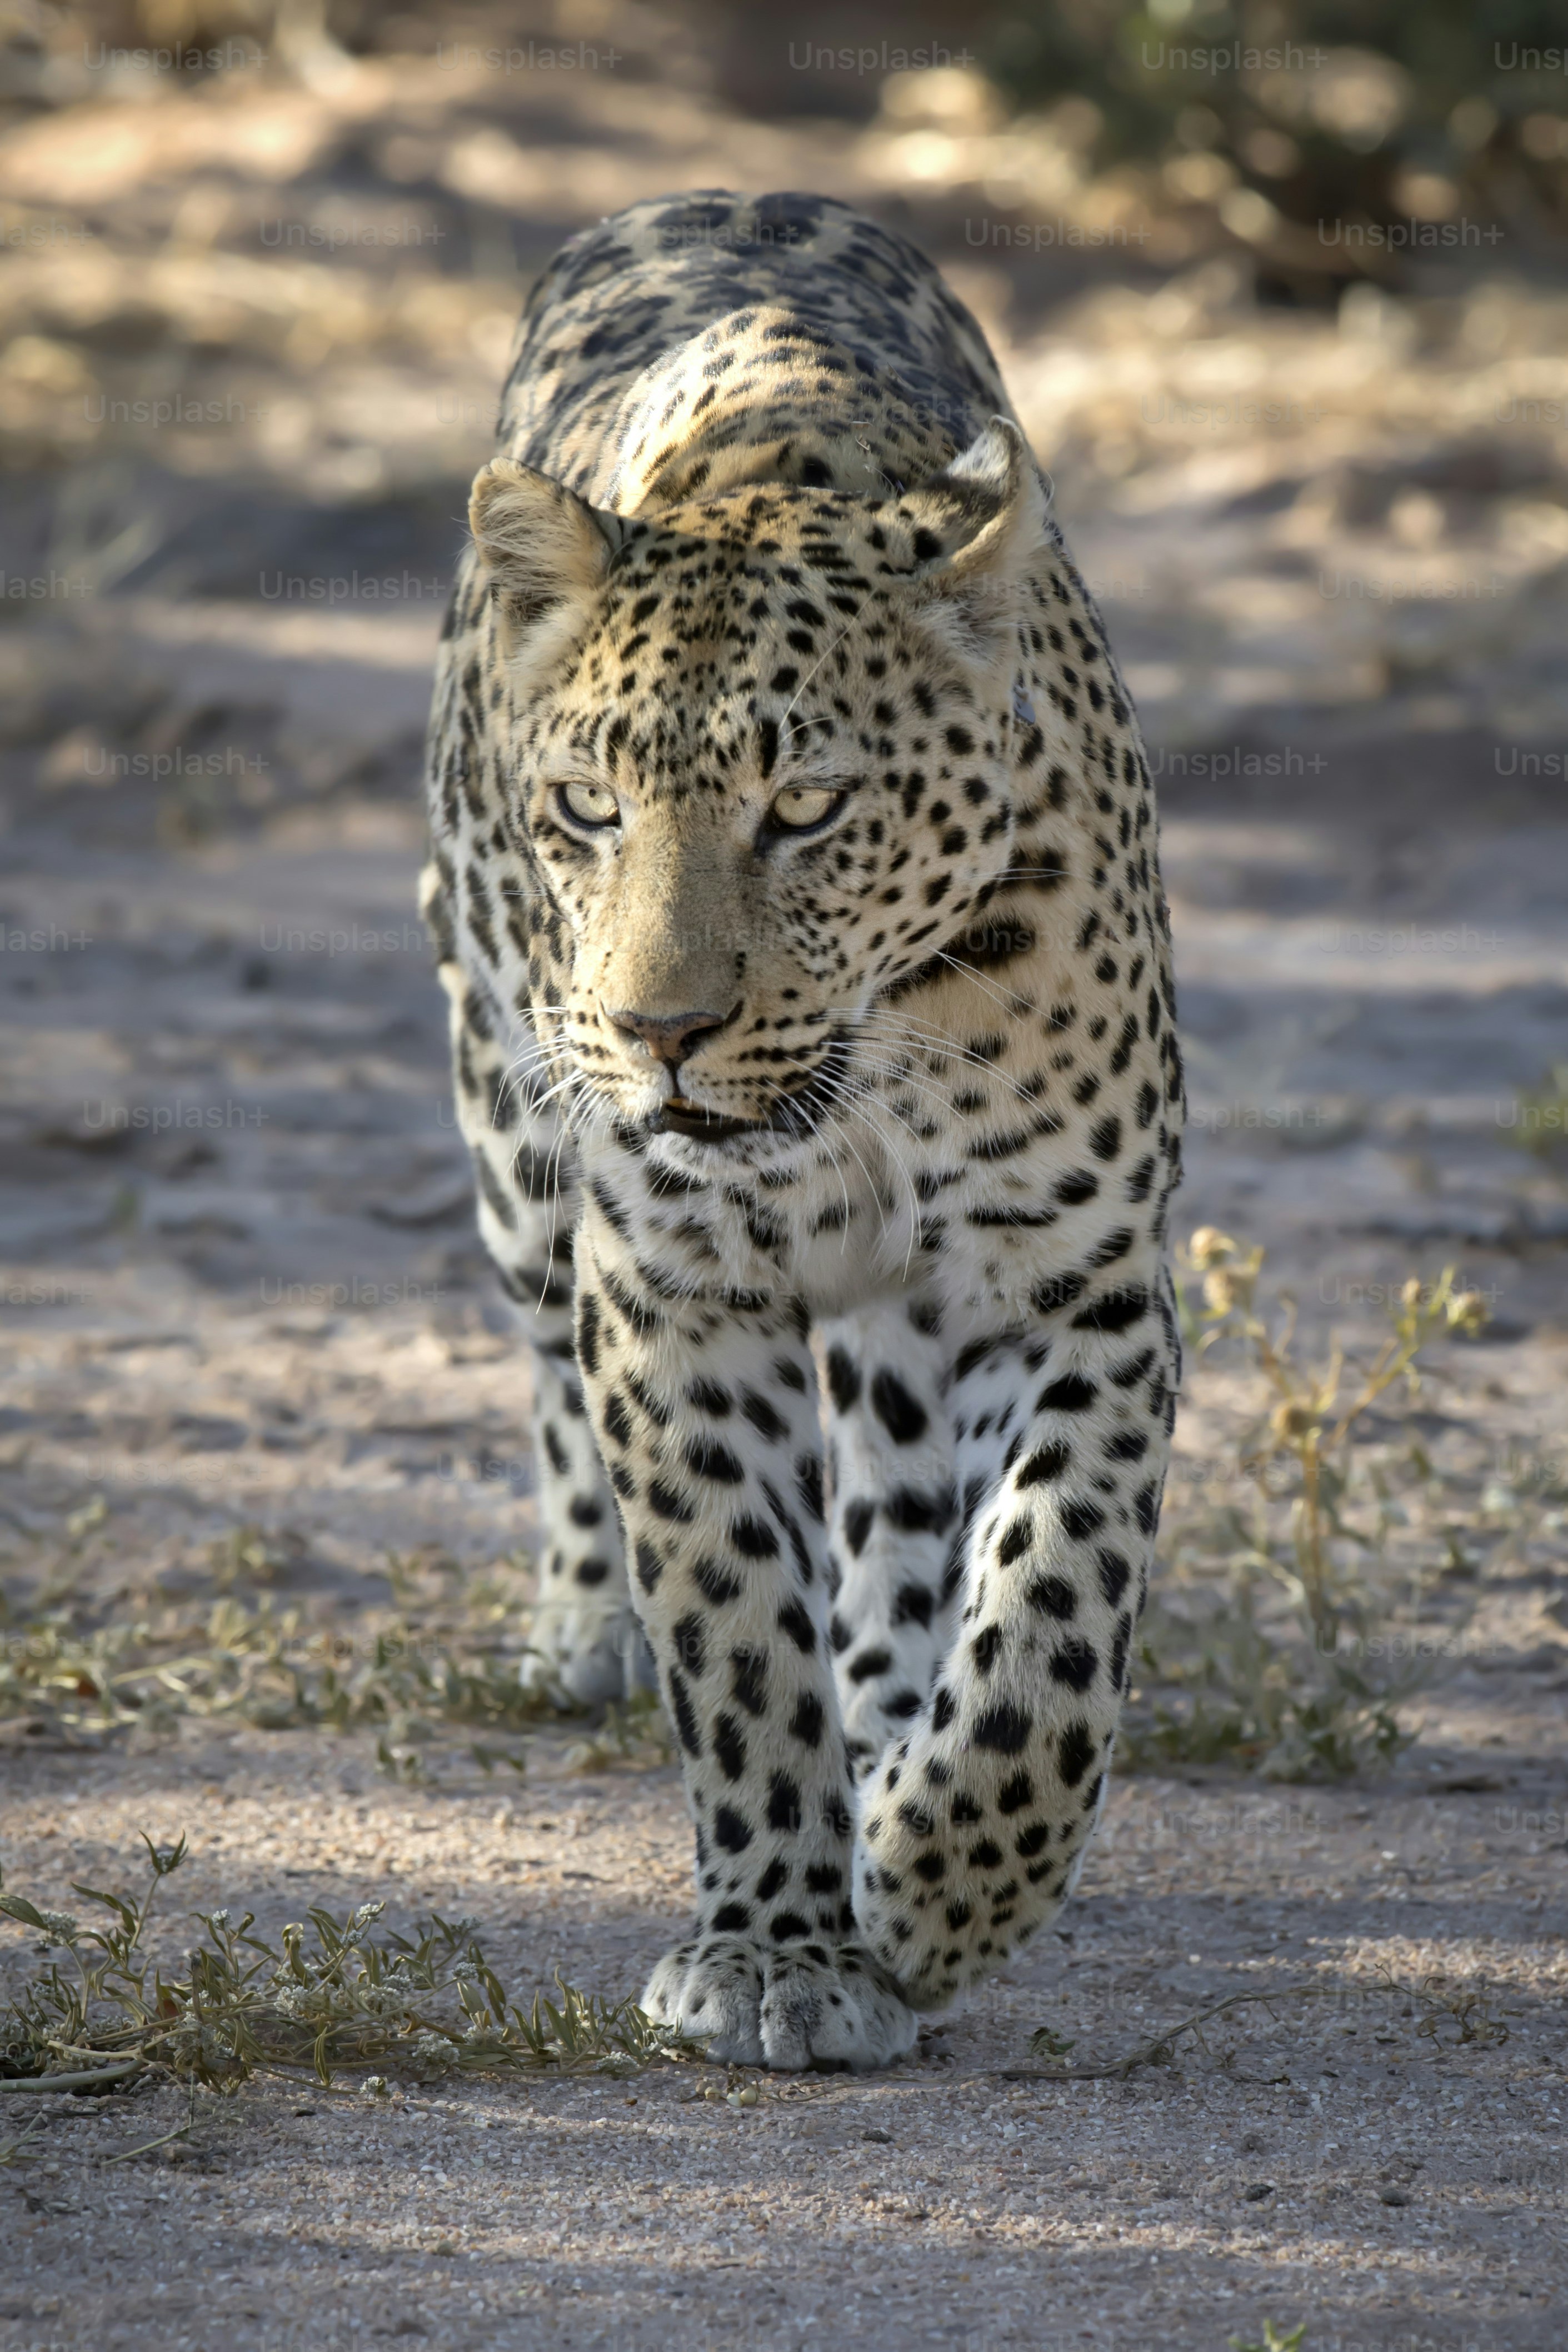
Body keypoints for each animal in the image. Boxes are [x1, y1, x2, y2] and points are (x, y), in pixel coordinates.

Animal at [421, 189, 1183, 2071]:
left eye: (809, 809)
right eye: (587, 807)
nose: (660, 1033)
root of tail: (695, 197)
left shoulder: (1082, 1280)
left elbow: (1052, 1606)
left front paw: (935, 1876)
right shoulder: (672, 1290)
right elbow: (734, 1626)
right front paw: (776, 1941)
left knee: (904, 1519)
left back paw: (893, 1733)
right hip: (510, 1136)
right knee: (552, 1371)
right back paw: (586, 1627)